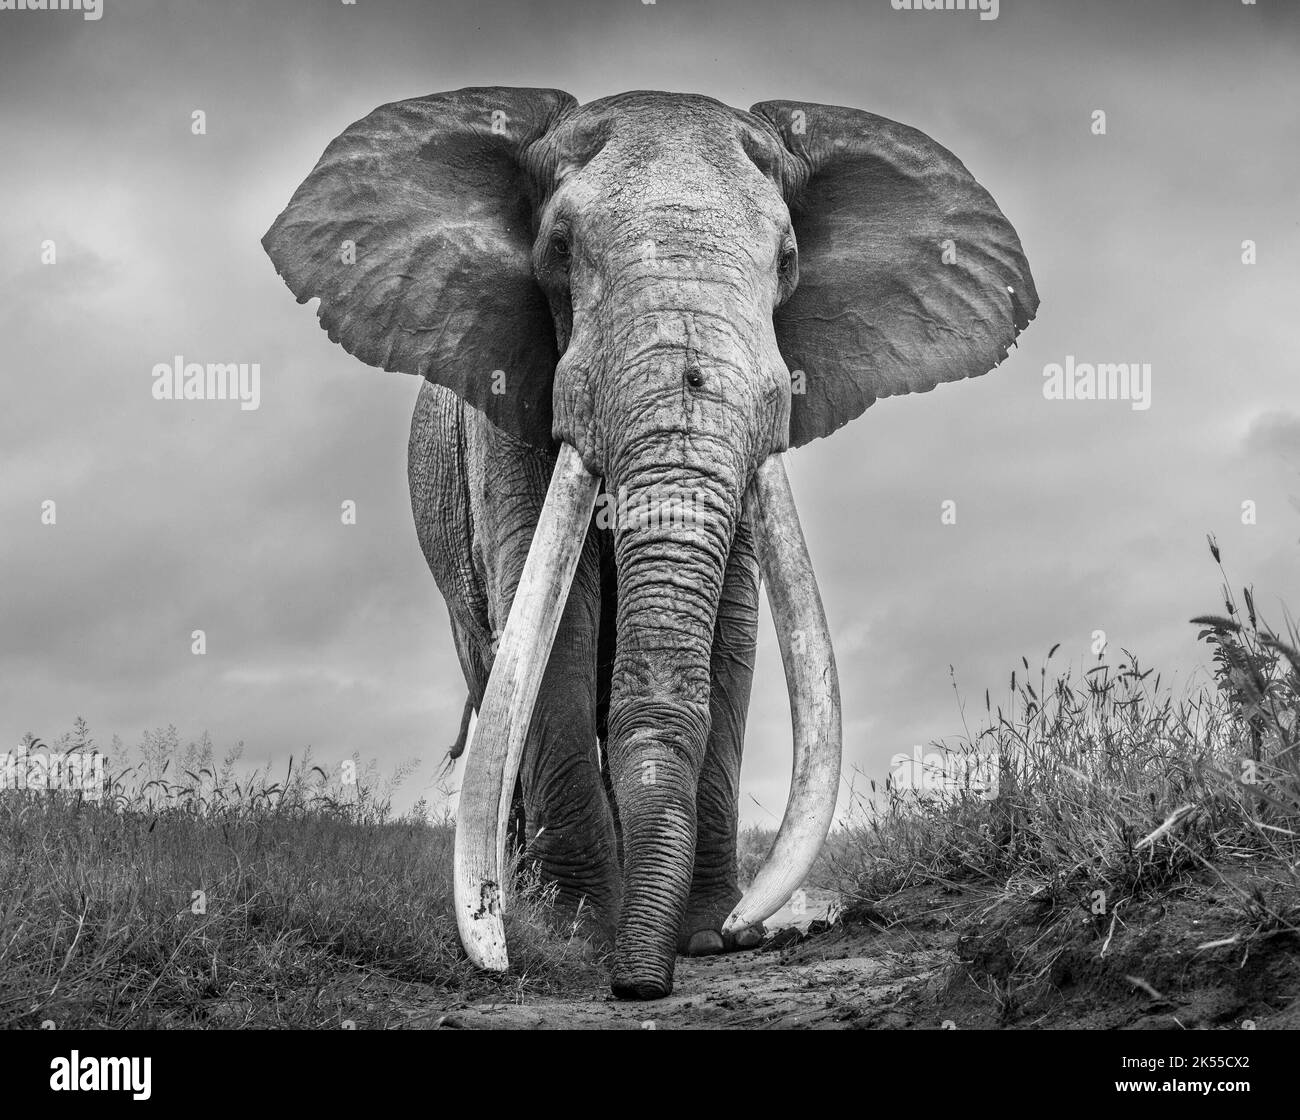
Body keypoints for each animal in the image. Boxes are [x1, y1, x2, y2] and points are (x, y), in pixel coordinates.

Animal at [262, 88, 1037, 999]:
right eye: (560, 250)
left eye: (786, 259)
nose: (639, 985)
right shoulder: (513, 400)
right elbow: (555, 628)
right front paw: (572, 934)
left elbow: (731, 635)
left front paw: (709, 938)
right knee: (494, 669)